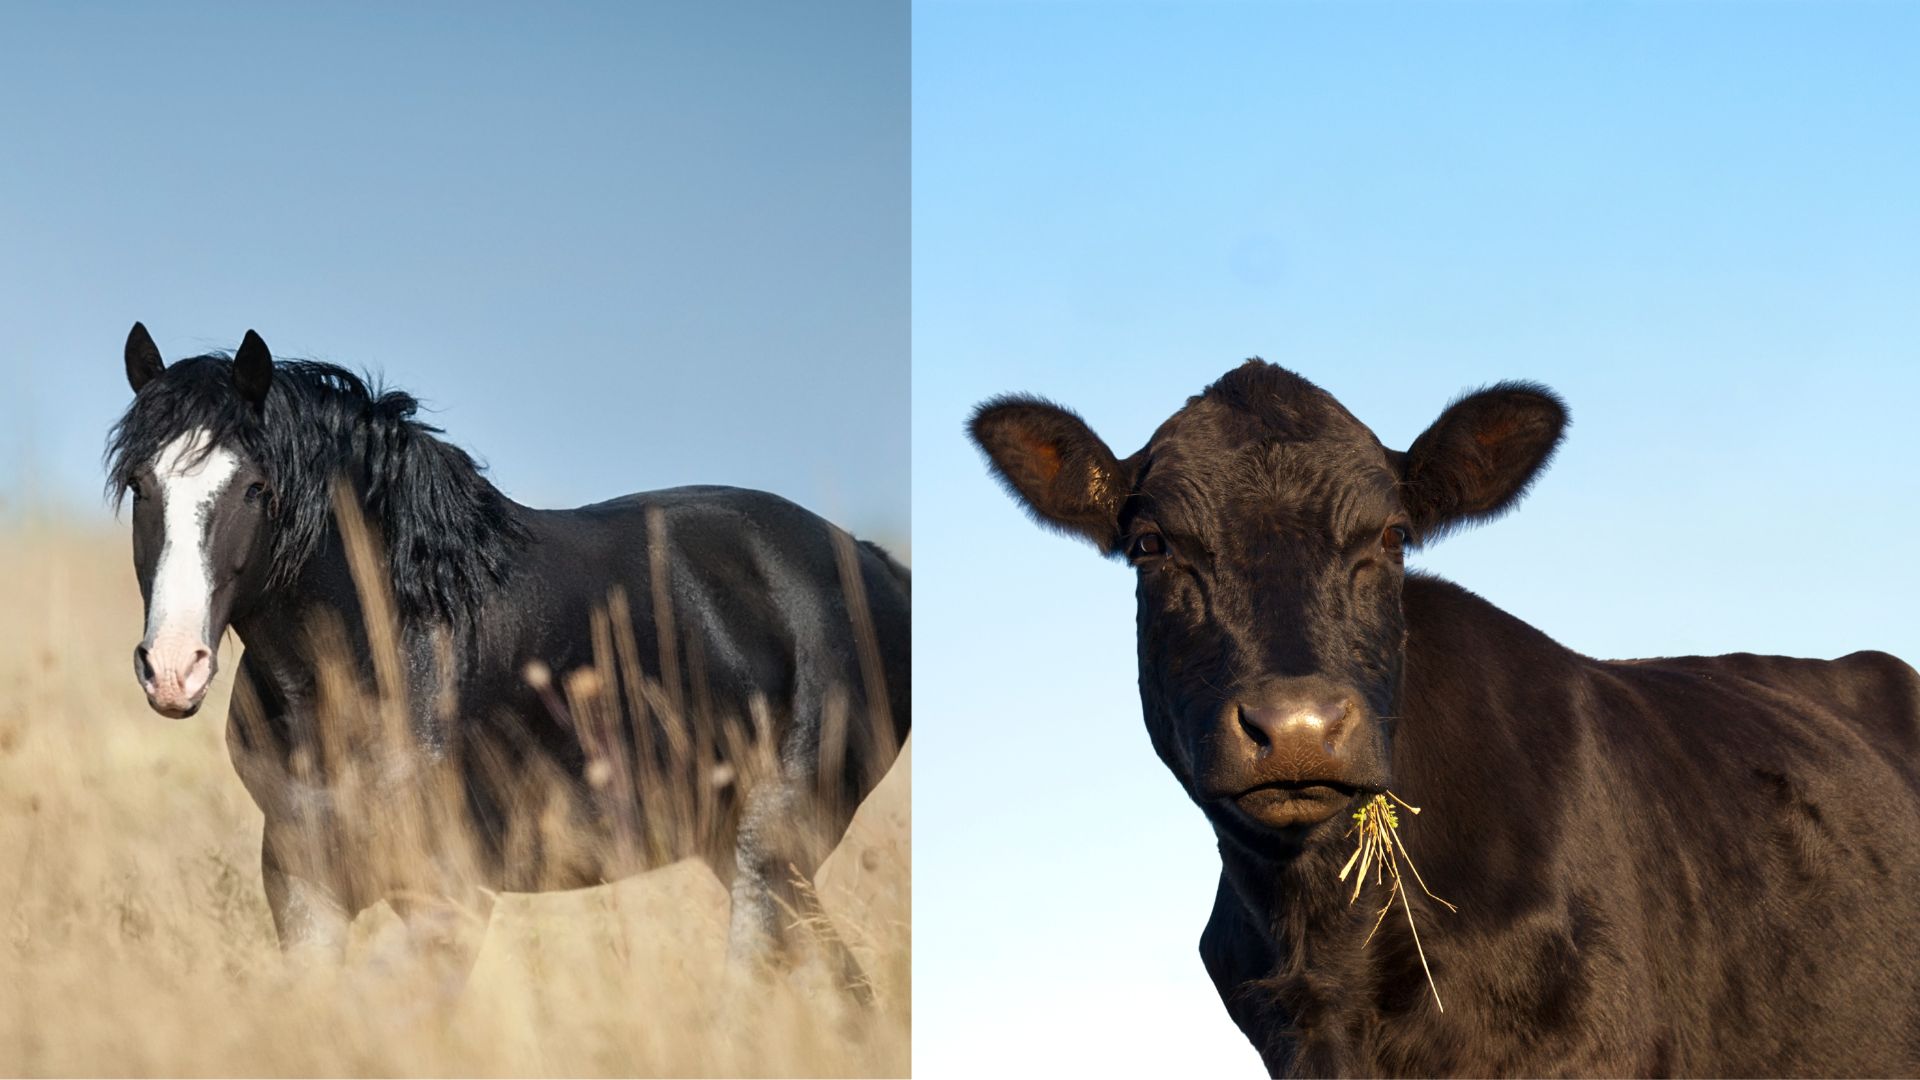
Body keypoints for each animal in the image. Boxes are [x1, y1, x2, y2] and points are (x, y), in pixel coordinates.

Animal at [107, 321, 910, 991]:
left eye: (254, 487)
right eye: (141, 485)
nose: (173, 669)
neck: (383, 654)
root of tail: (872, 563)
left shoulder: (448, 898)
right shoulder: (304, 886)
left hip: (766, 857)